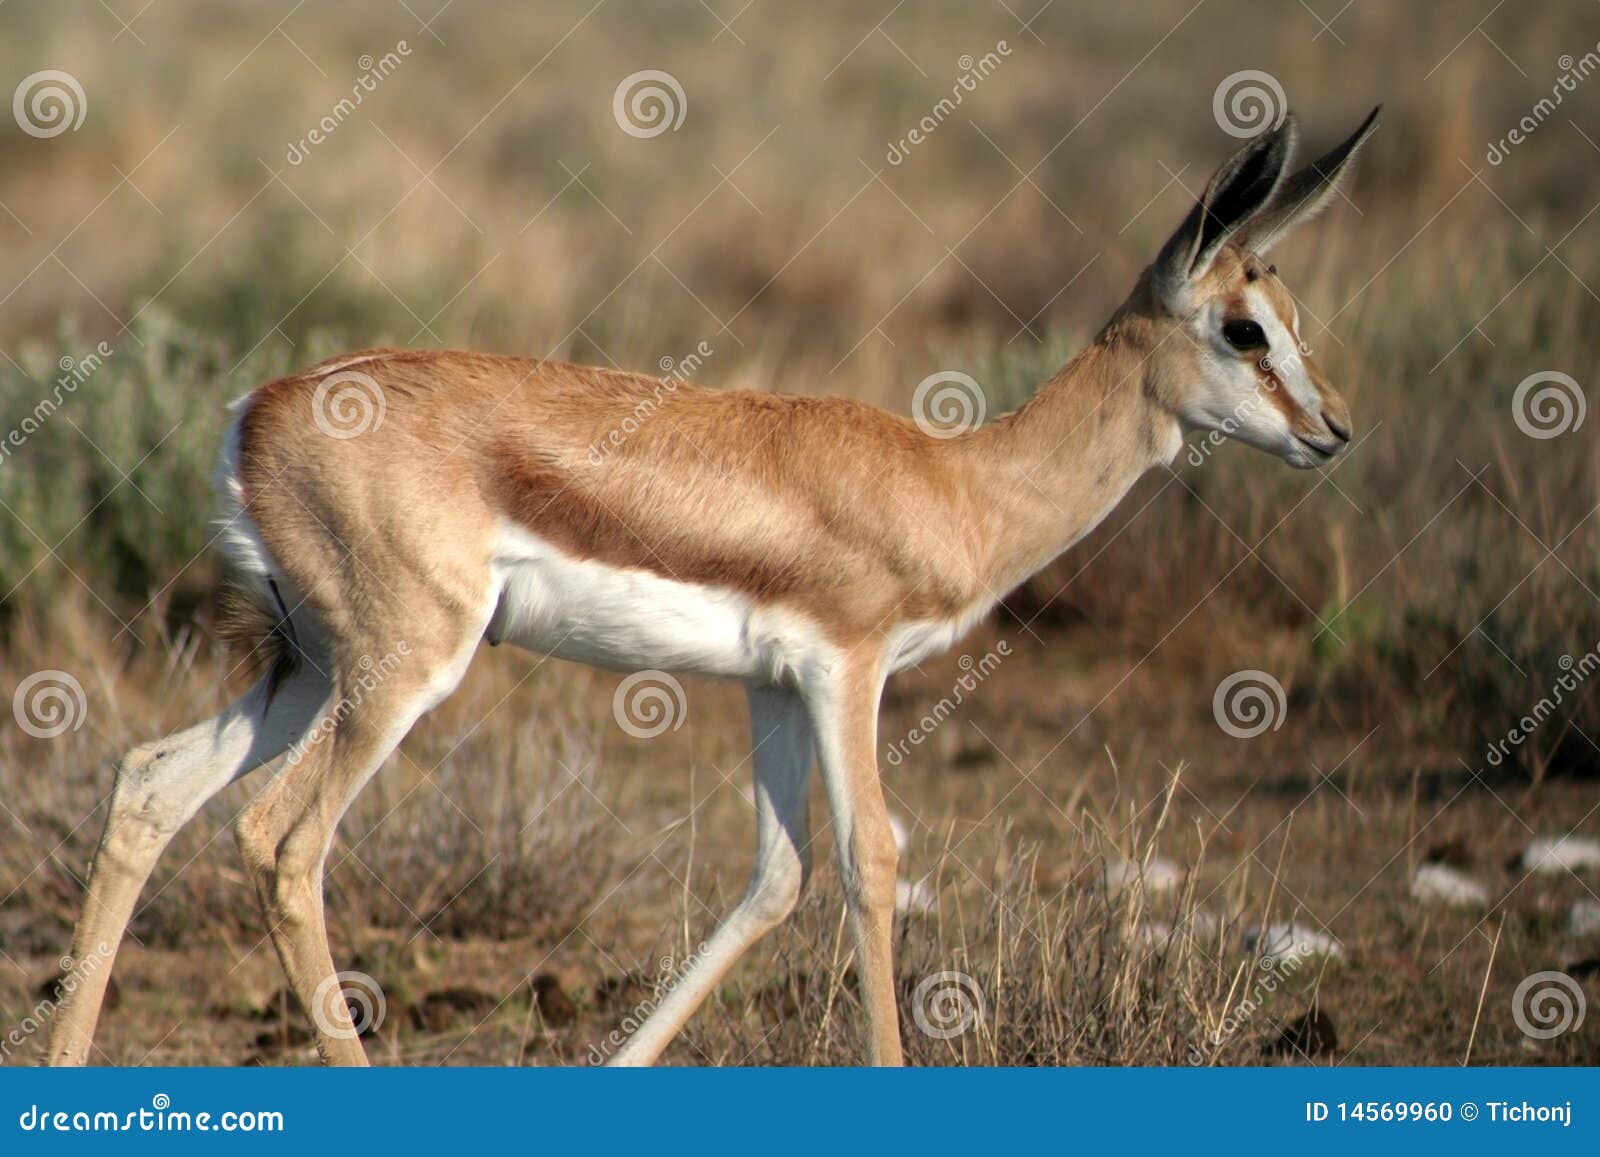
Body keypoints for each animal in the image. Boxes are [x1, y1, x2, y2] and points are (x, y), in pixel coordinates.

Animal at [49, 106, 1378, 1067]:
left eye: (1293, 313)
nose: (1334, 432)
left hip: (308, 661)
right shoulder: (847, 669)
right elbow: (872, 861)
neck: (957, 482)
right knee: (281, 837)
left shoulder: (774, 687)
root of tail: (254, 410)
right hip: (400, 668)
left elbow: (778, 880)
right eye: (1244, 328)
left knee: (151, 784)